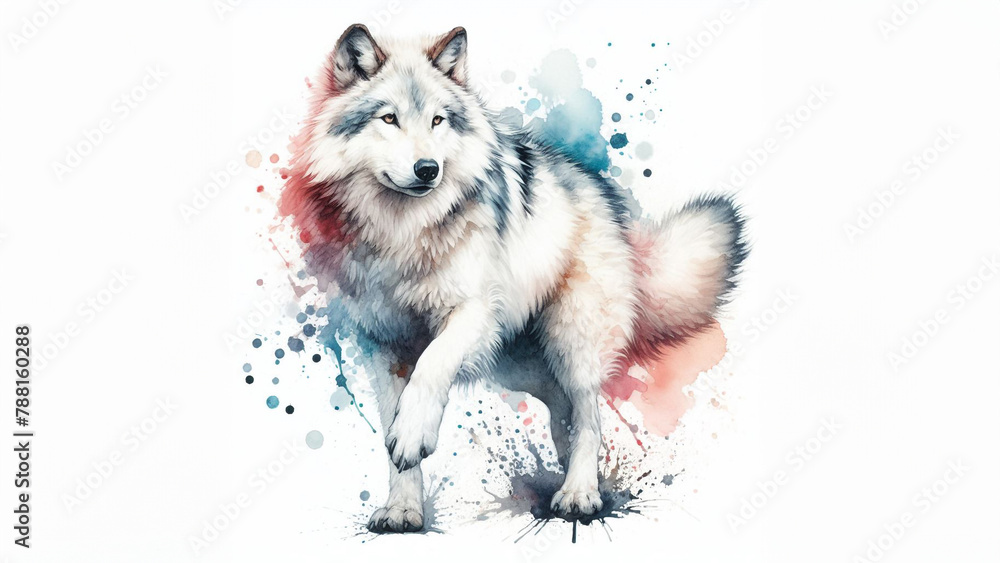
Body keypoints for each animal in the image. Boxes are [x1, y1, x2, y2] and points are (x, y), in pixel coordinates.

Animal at [278, 24, 747, 533]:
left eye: (438, 121)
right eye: (389, 119)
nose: (428, 169)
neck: (403, 234)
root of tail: (603, 196)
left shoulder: (475, 310)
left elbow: (433, 366)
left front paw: (413, 433)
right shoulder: (383, 345)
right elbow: (391, 433)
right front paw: (403, 508)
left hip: (572, 342)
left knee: (588, 416)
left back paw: (579, 495)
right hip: (523, 363)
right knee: (562, 413)